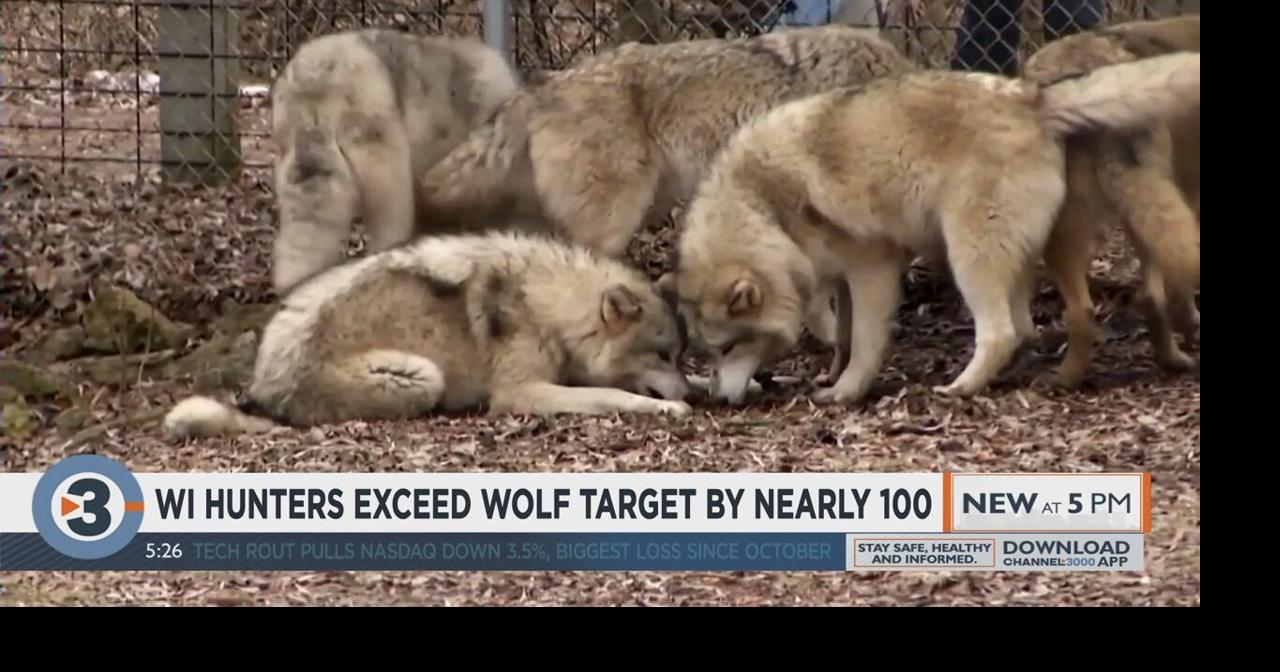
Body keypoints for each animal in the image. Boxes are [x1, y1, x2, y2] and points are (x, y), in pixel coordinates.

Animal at [164, 232, 692, 439]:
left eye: (681, 355)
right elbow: (613, 396)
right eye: (662, 356)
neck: (546, 303)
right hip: (422, 376)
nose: (689, 392)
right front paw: (668, 407)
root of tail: (264, 383)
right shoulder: (521, 392)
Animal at [663, 52, 1201, 404]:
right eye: (709, 353)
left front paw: (846, 391)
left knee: (1001, 331)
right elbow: (842, 336)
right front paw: (830, 377)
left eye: (729, 347)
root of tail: (1028, 97)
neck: (764, 209)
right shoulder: (838, 278)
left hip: (968, 254)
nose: (715, 399)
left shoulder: (872, 271)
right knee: (1024, 327)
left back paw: (960, 387)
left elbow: (864, 341)